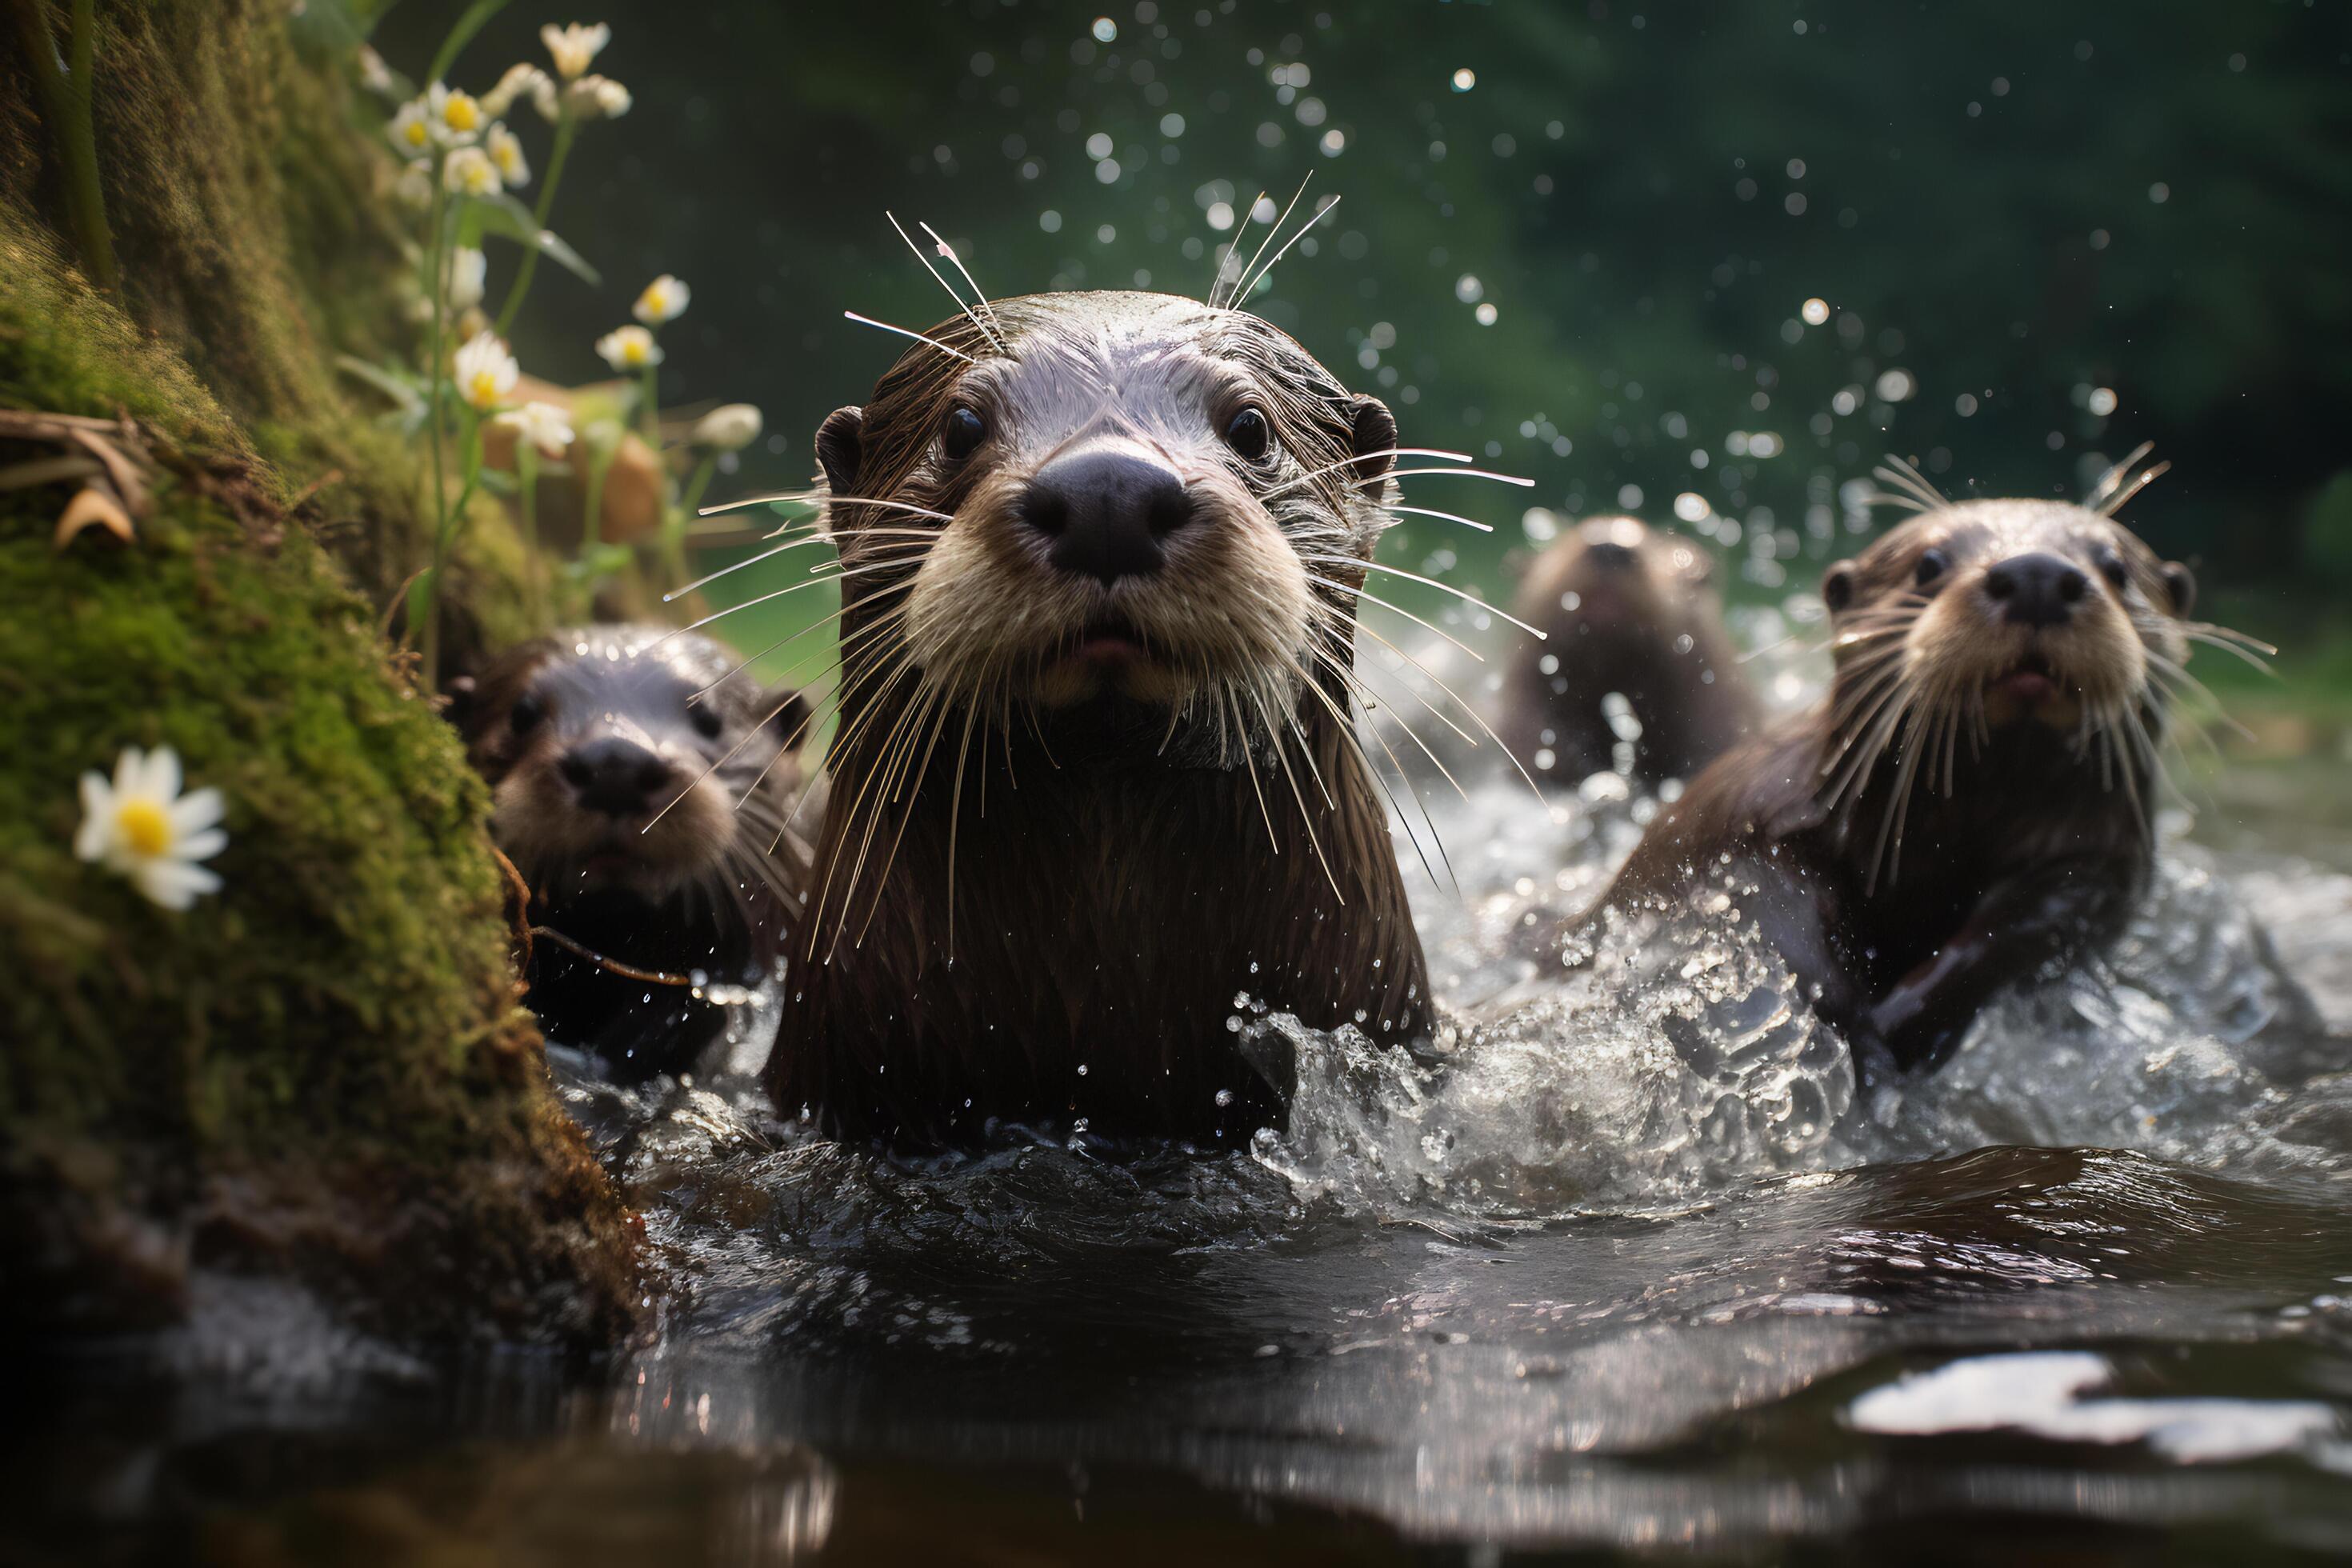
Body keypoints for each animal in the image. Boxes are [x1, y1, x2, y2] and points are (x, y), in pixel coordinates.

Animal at [1594, 473, 2216, 1077]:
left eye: (2117, 569)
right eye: (1930, 564)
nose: (2036, 574)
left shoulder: (2096, 869)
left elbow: (2020, 932)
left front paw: (1903, 1024)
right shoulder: (1735, 831)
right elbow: (1766, 917)